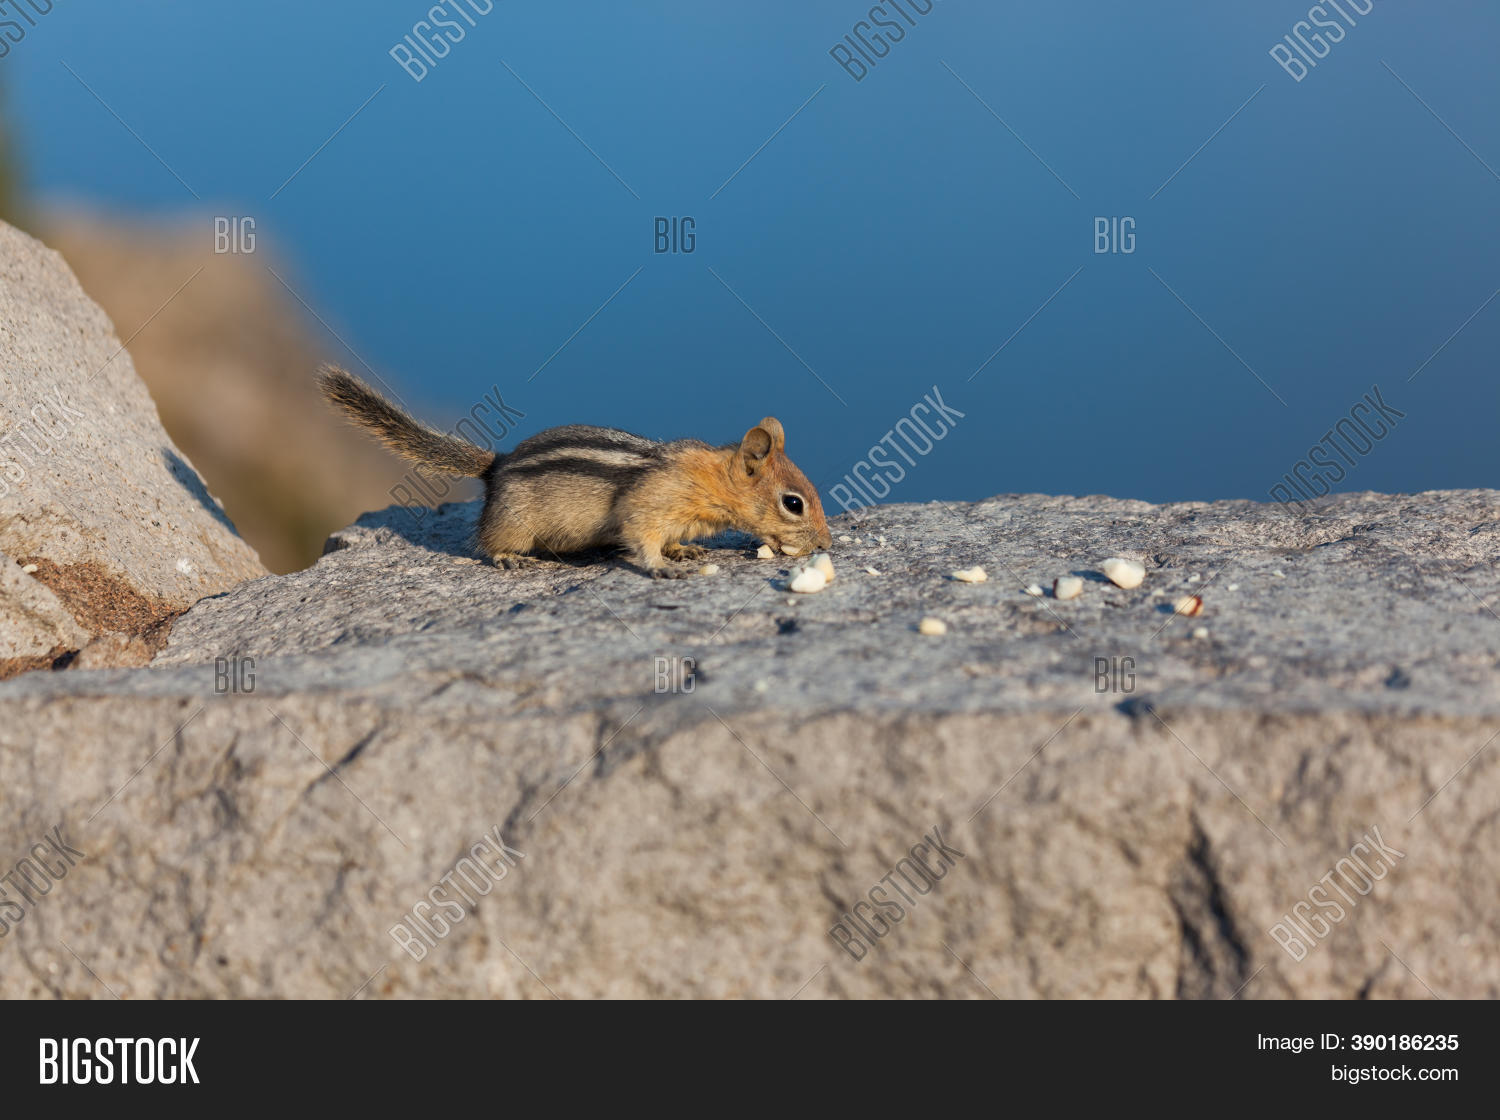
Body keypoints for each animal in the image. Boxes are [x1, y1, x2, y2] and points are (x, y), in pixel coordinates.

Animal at [317, 366, 832, 578]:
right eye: (793, 503)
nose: (827, 544)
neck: (711, 481)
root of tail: (496, 466)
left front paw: (682, 550)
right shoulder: (648, 505)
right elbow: (641, 536)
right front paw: (662, 567)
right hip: (512, 525)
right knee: (487, 542)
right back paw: (508, 558)